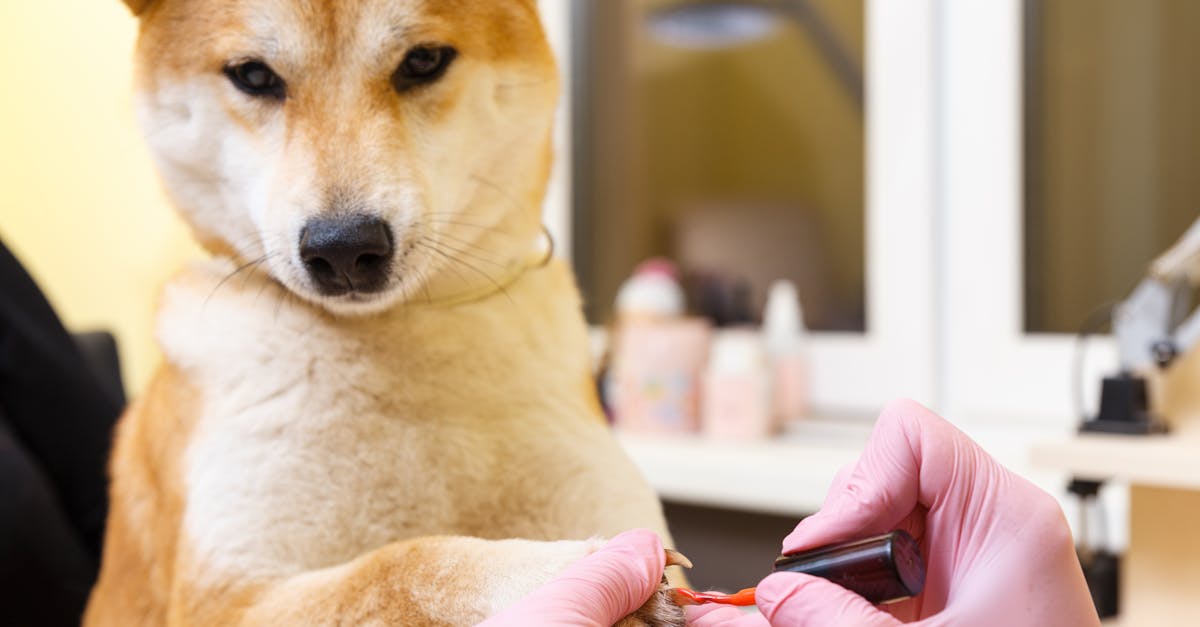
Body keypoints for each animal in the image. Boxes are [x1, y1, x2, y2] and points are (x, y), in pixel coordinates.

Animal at [84, 0, 686, 619]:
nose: (343, 247)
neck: (402, 337)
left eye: (423, 61)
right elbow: (405, 565)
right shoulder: (226, 599)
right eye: (253, 75)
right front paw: (565, 571)